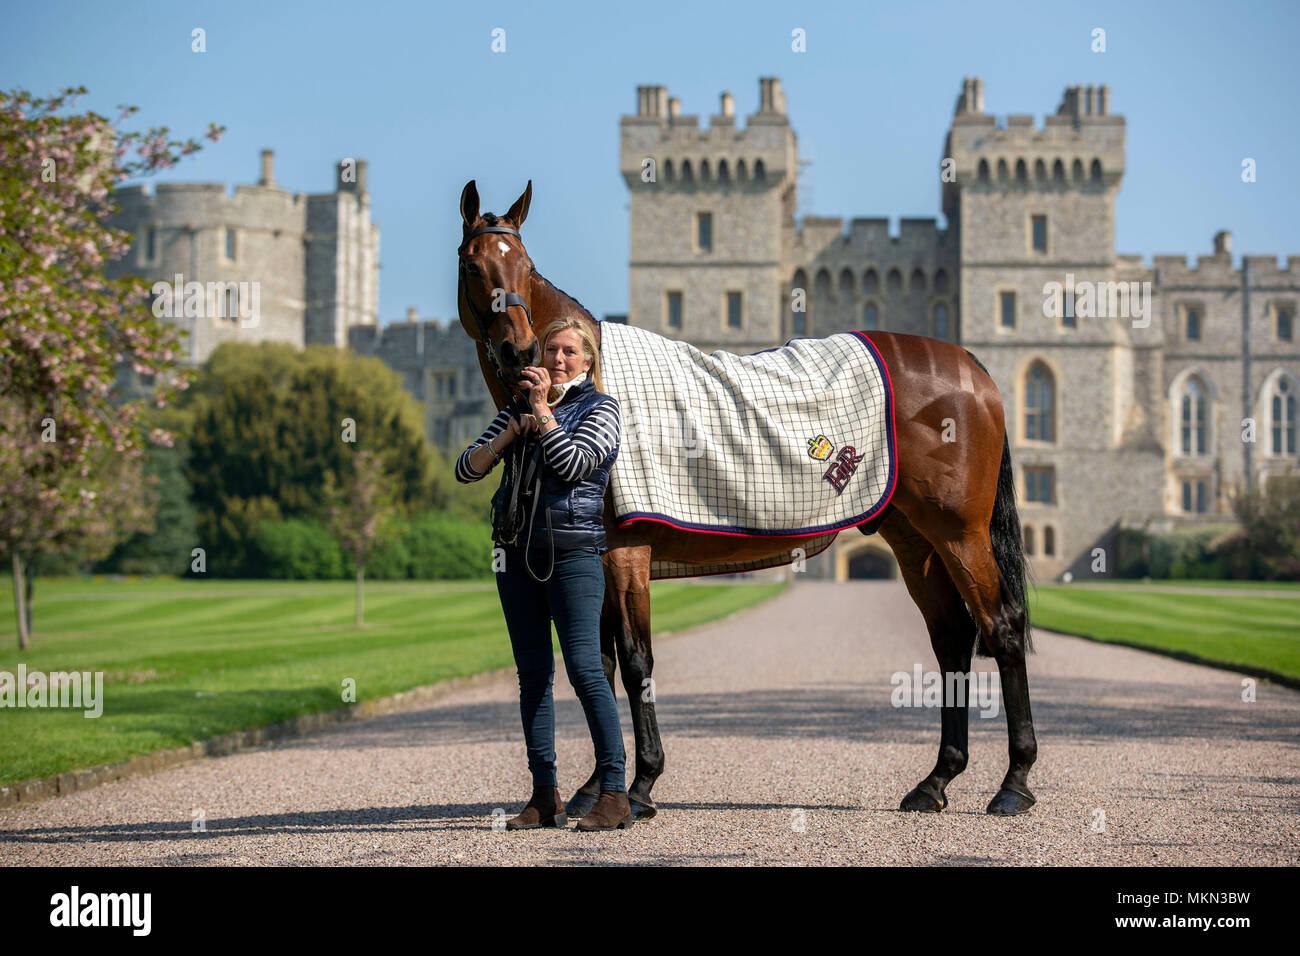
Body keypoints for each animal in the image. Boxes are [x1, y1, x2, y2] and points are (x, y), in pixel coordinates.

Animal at [456, 179, 1037, 820]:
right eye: (474, 264)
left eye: (525, 265)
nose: (519, 349)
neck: (592, 384)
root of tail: (971, 366)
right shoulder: (597, 558)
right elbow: (600, 662)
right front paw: (593, 789)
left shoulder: (625, 552)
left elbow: (634, 661)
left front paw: (640, 786)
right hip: (915, 537)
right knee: (952, 637)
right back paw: (936, 779)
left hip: (960, 531)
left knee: (1002, 627)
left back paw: (1014, 781)